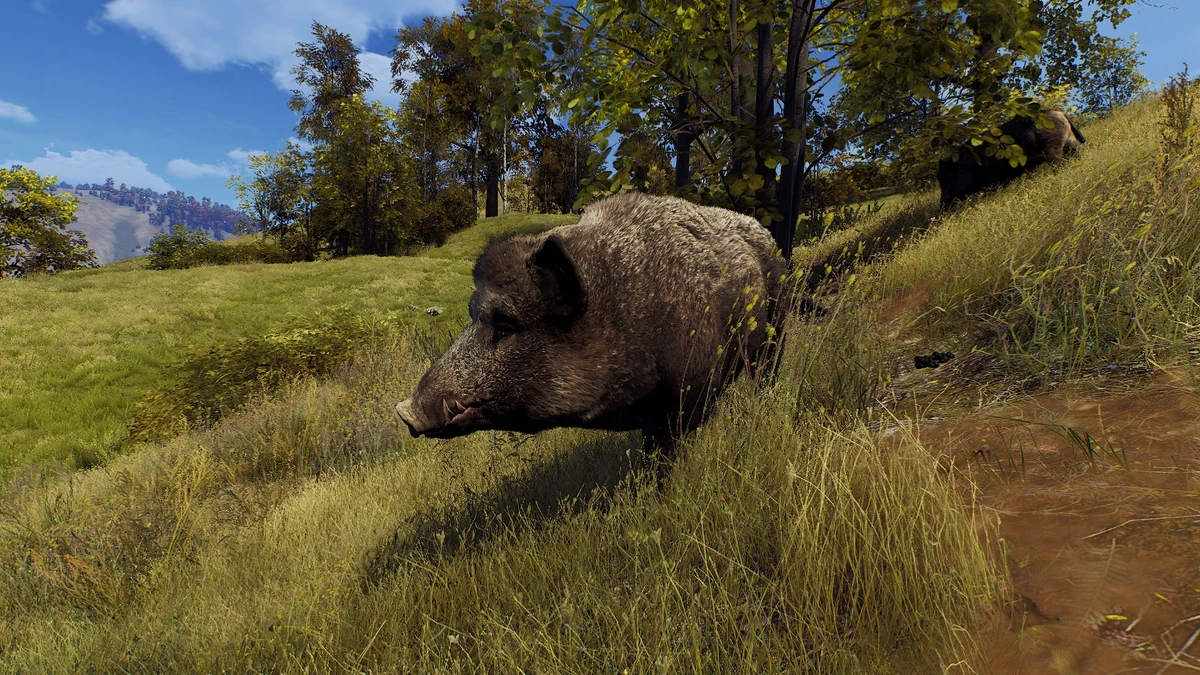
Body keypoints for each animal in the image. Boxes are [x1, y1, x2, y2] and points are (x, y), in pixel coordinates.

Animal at [395, 192, 790, 469]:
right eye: (472, 314)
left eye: (505, 326)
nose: (406, 412)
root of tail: (768, 238)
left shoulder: (687, 394)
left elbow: (663, 455)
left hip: (776, 333)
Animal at [938, 110, 1086, 209]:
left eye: (948, 179)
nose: (942, 204)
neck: (971, 164)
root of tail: (1060, 113)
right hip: (1070, 143)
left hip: (1052, 149)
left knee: (1059, 163)